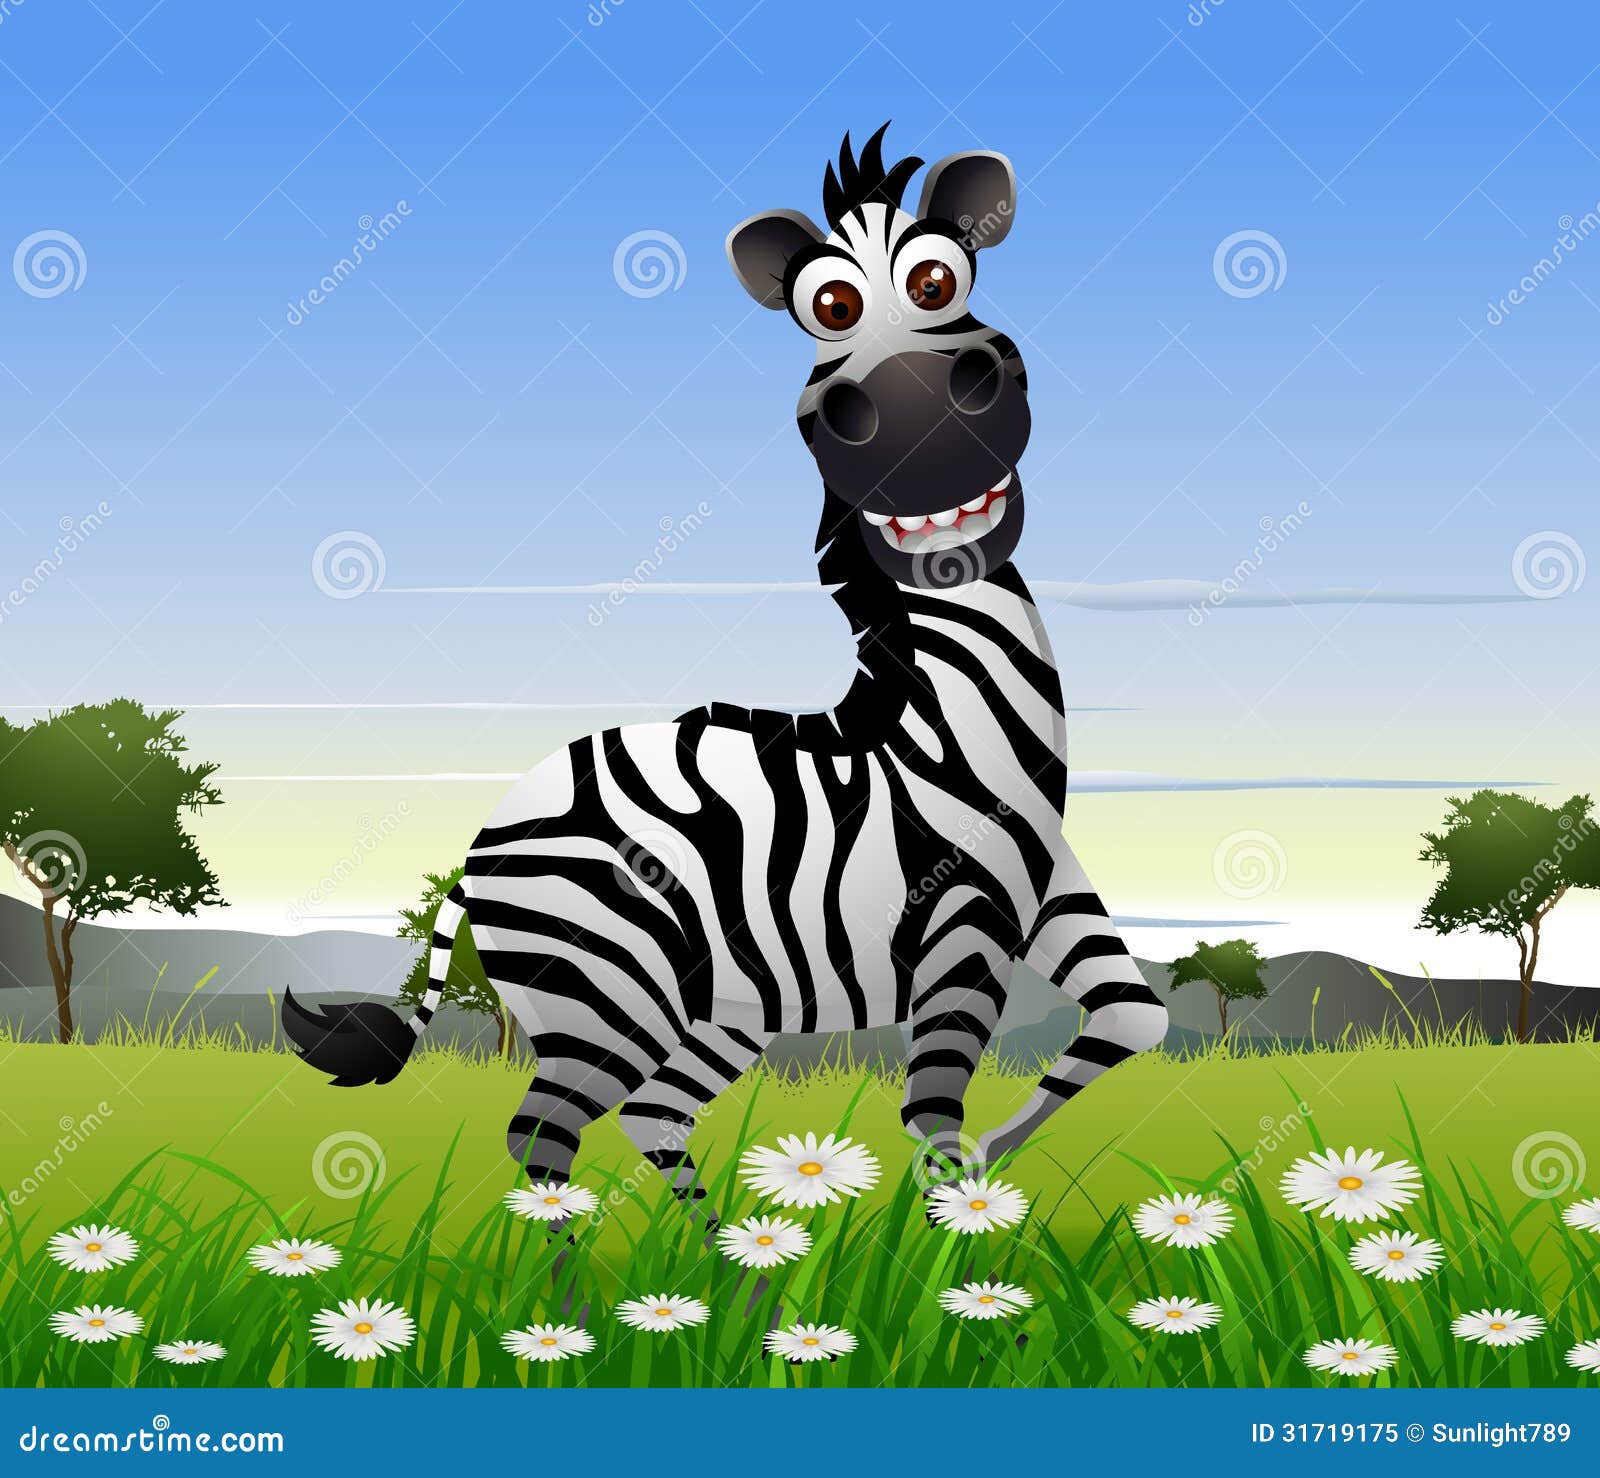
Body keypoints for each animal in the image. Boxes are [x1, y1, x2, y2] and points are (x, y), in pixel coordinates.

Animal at [282, 124, 1169, 1222]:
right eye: (829, 308)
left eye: (939, 277)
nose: (915, 419)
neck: (952, 719)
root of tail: (486, 832)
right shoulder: (959, 922)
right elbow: (929, 1118)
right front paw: (969, 1248)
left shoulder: (1043, 895)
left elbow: (1133, 1019)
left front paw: (993, 1169)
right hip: (606, 985)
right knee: (546, 1130)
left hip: (722, 1003)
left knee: (651, 1115)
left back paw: (729, 1267)